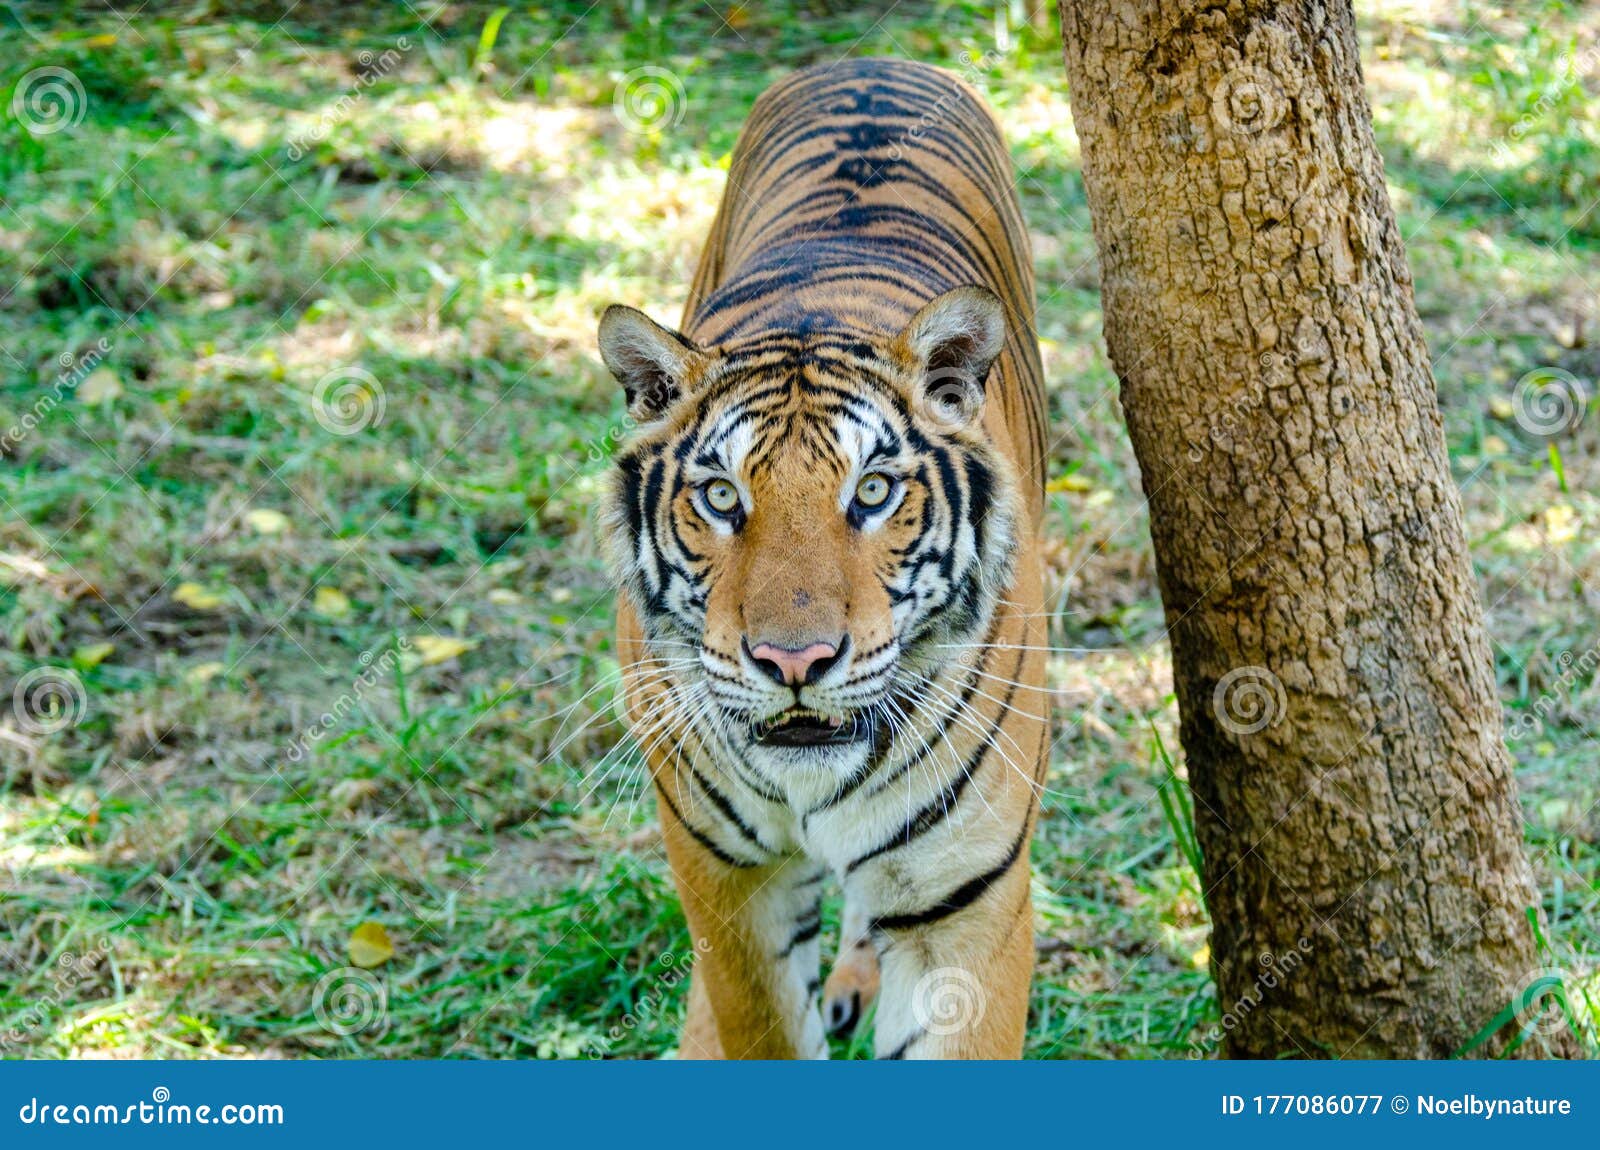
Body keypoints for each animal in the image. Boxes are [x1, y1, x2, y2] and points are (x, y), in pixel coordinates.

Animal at [596, 56, 1050, 1059]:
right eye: (721, 498)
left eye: (873, 492)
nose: (794, 662)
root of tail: (873, 60)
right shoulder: (729, 880)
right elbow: (759, 1022)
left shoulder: (968, 901)